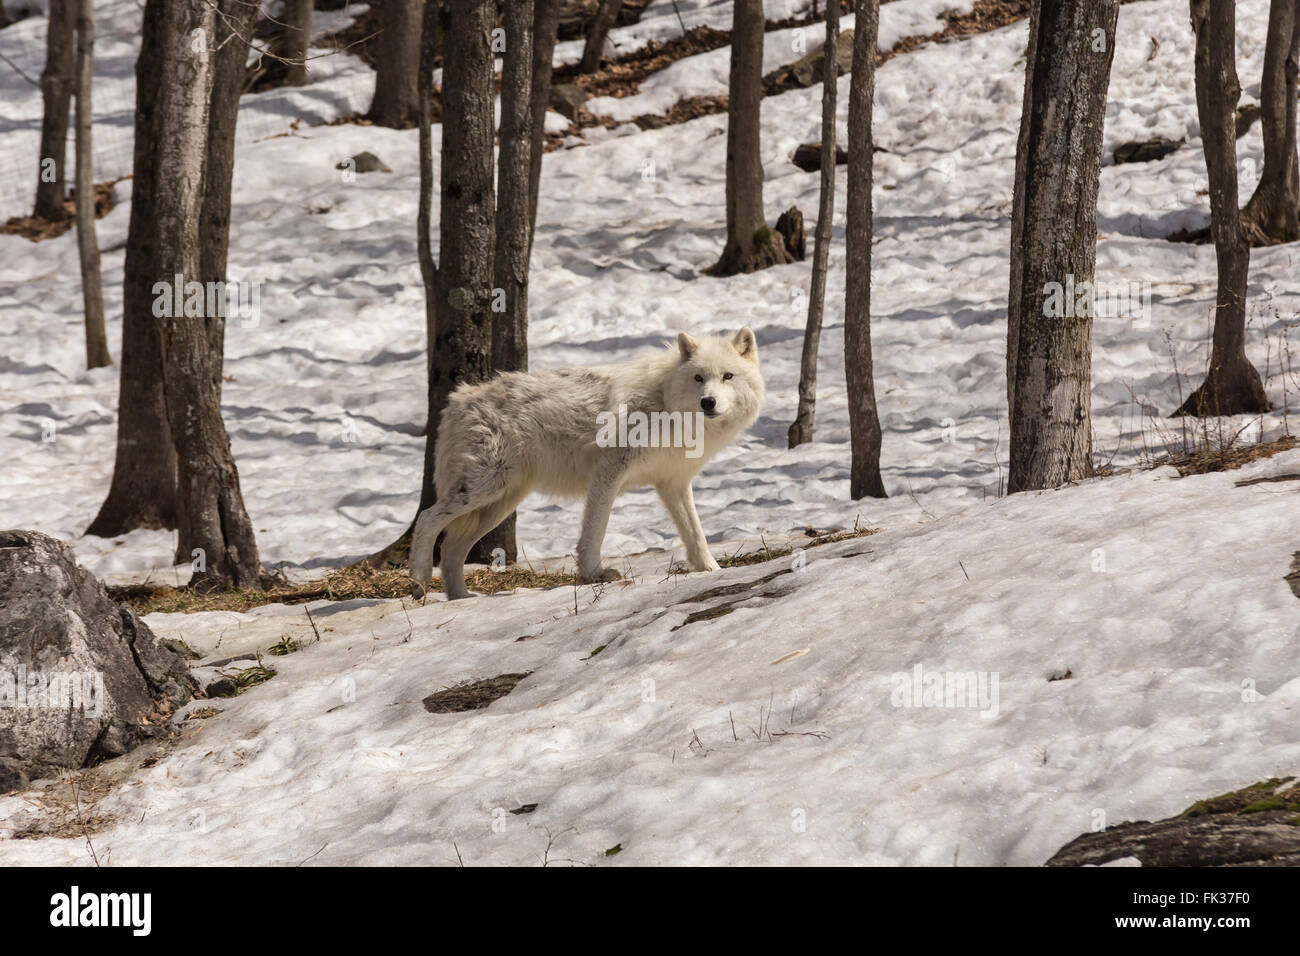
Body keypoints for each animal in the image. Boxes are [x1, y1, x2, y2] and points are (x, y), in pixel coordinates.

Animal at [409, 327, 765, 600]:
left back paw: (462, 598)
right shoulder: (608, 473)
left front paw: (711, 570)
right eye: (698, 377)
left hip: (499, 504)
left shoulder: (673, 483)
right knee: (427, 521)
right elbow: (595, 530)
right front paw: (594, 574)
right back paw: (419, 584)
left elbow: (695, 533)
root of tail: (458, 399)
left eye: (728, 376)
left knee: (452, 547)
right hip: (484, 490)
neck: (667, 404)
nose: (708, 402)